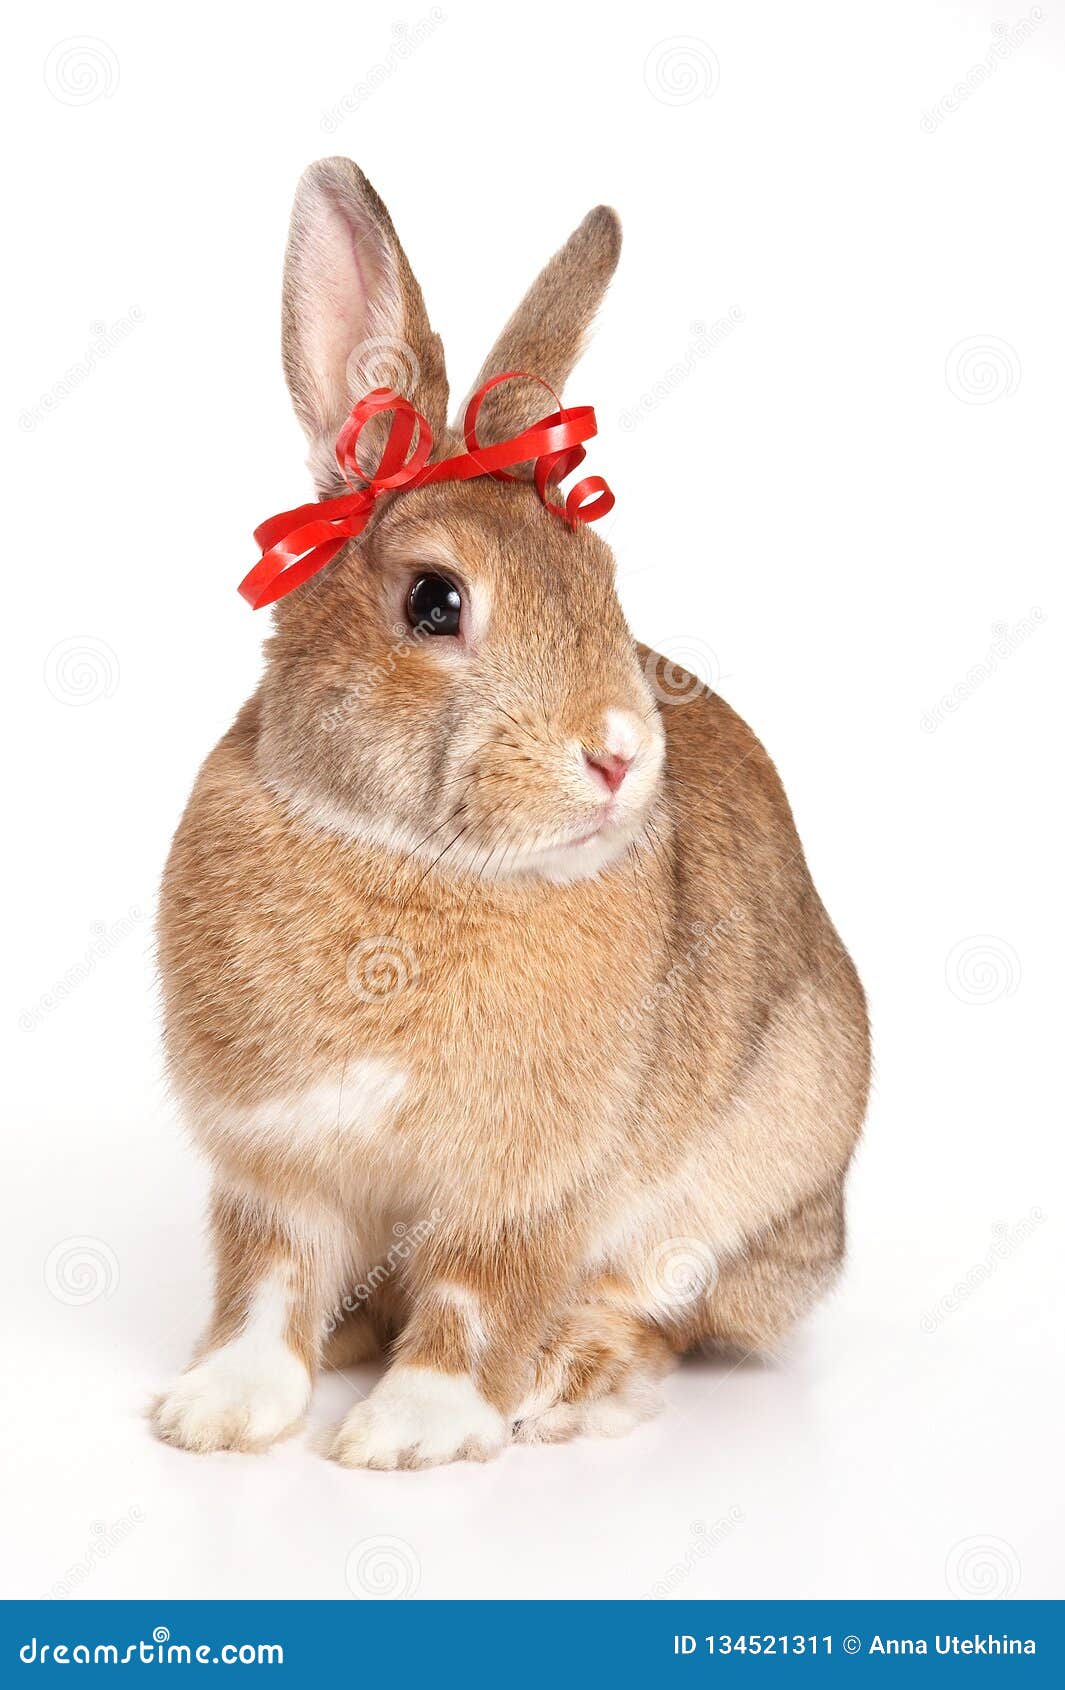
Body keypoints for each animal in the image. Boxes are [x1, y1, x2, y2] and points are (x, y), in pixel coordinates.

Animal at [153, 157, 870, 1468]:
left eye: (603, 585)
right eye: (435, 601)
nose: (619, 750)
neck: (409, 860)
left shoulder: (526, 1191)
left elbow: (481, 1294)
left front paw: (411, 1430)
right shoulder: (280, 1167)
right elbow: (269, 1283)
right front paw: (219, 1409)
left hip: (744, 1184)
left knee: (661, 1312)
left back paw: (570, 1381)